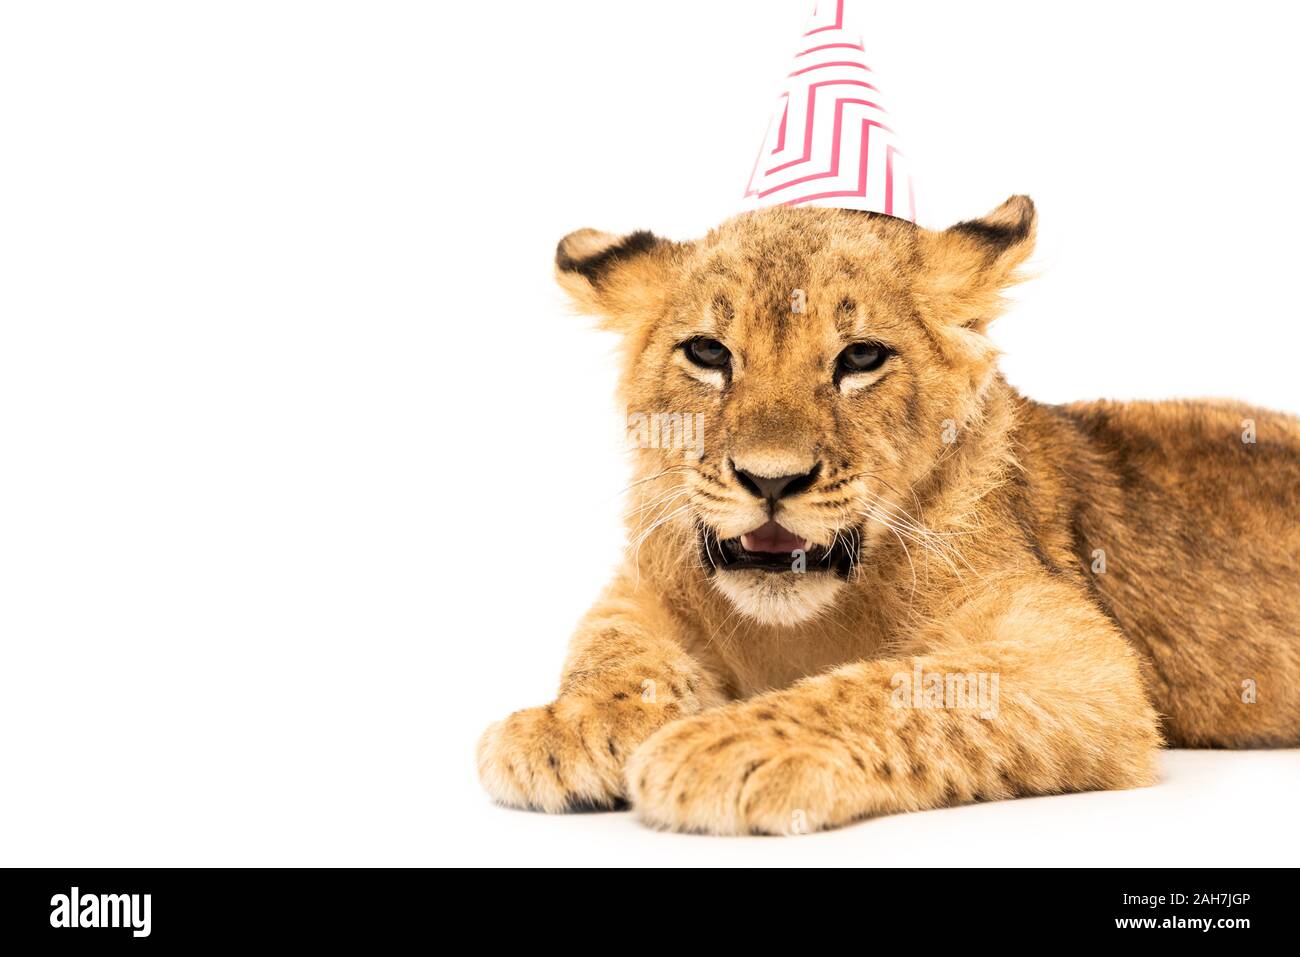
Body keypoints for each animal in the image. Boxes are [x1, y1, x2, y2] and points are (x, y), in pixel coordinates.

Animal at [476, 196, 1300, 834]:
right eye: (707, 353)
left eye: (861, 357)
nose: (772, 478)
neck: (799, 624)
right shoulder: (645, 580)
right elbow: (611, 647)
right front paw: (568, 724)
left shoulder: (1084, 663)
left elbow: (903, 685)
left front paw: (727, 746)